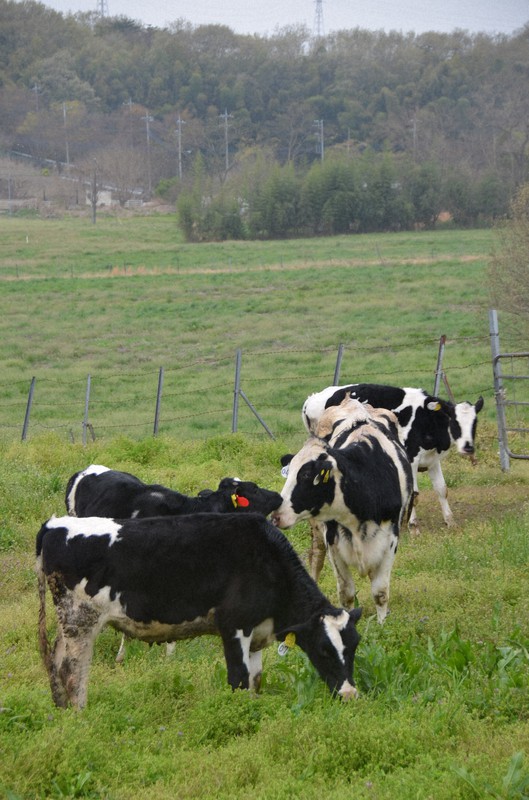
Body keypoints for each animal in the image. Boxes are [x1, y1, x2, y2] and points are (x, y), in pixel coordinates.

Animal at [36, 513, 362, 709]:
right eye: (323, 649)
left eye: (354, 647)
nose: (350, 695)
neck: (267, 561)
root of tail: (53, 525)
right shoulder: (233, 626)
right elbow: (239, 679)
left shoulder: (257, 633)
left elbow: (255, 680)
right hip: (80, 620)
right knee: (72, 672)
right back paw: (80, 717)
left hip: (68, 624)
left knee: (56, 661)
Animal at [273, 398, 413, 623]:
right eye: (290, 473)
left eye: (306, 476)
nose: (277, 515)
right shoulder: (333, 543)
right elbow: (346, 593)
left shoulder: (391, 539)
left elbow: (380, 591)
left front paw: (382, 624)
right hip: (318, 534)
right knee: (316, 557)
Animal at [302, 384, 484, 532]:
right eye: (455, 422)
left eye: (474, 423)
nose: (468, 447)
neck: (426, 418)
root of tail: (312, 399)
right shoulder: (412, 459)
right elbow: (414, 494)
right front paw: (413, 526)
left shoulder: (432, 460)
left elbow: (442, 490)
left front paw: (450, 522)